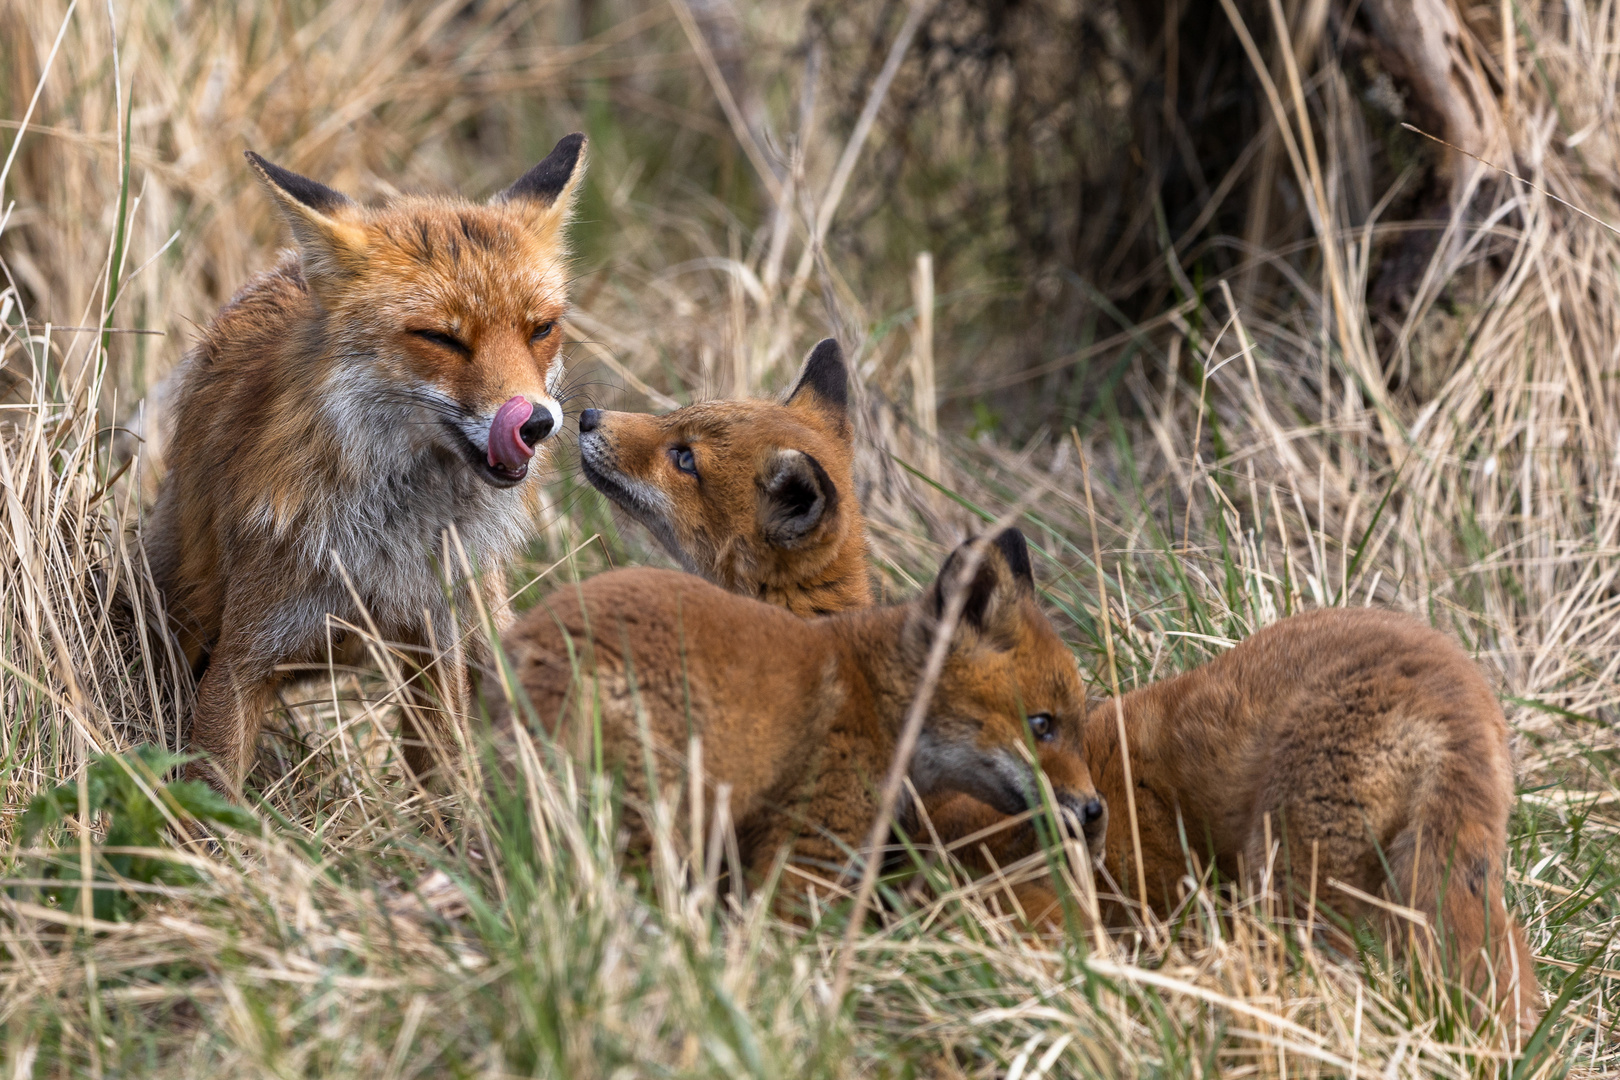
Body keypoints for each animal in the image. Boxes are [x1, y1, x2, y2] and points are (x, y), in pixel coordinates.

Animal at [147, 132, 589, 793]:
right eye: (442, 338)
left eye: (541, 329)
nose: (535, 423)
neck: (388, 542)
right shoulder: (243, 656)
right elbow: (212, 794)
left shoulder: (436, 649)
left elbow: (446, 784)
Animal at [576, 340, 1535, 1029]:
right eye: (677, 418)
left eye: (682, 456)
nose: (581, 413)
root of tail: (1453, 684)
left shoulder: (1005, 894)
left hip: (1296, 887)